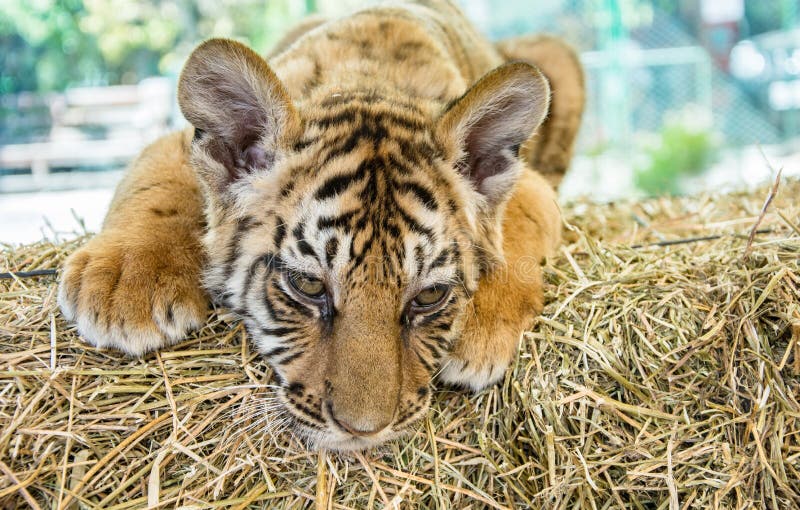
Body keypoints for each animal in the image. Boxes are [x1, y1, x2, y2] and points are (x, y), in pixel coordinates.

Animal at [57, 0, 585, 450]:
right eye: (308, 286)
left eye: (430, 296)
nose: (362, 431)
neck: (372, 77)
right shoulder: (174, 144)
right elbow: (155, 187)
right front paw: (125, 286)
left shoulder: (533, 183)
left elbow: (516, 230)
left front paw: (477, 333)